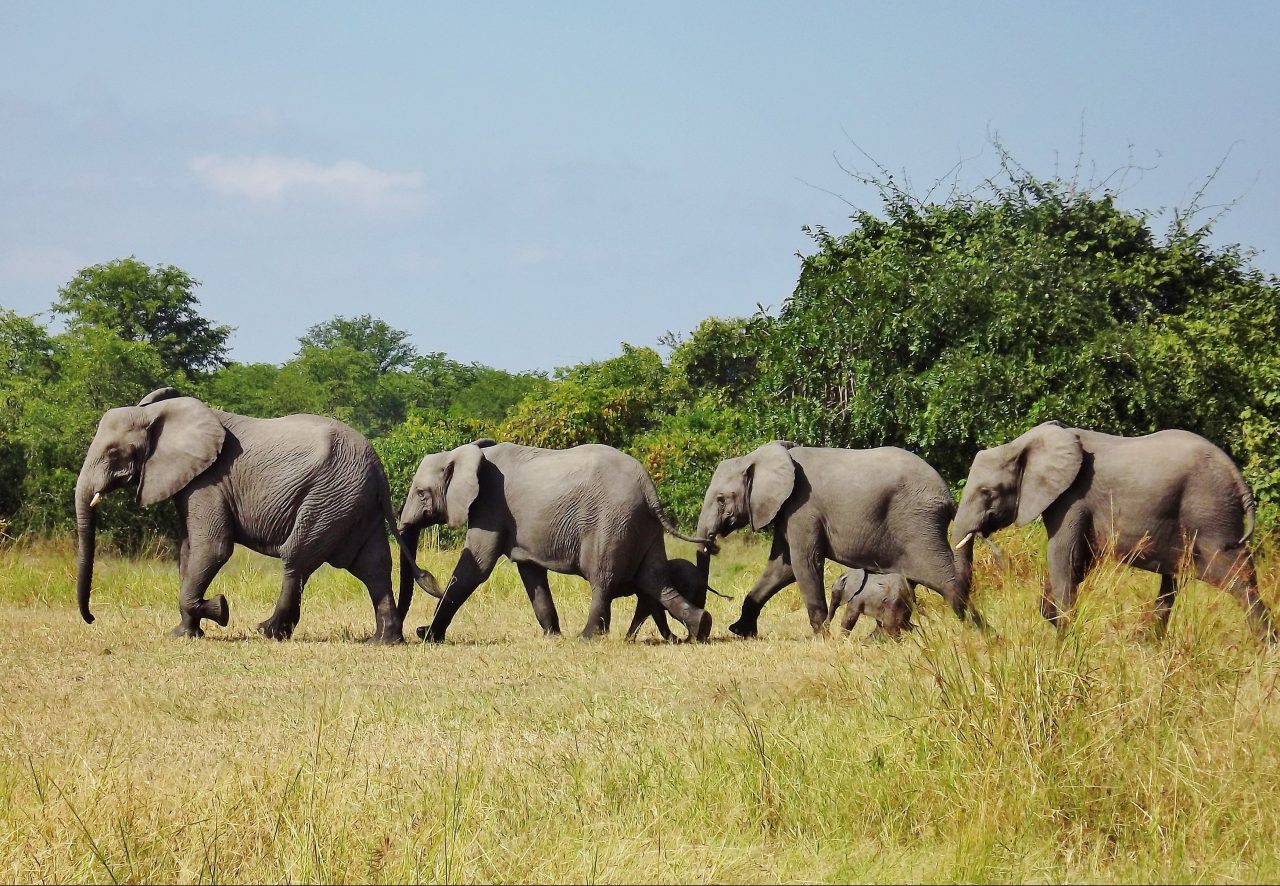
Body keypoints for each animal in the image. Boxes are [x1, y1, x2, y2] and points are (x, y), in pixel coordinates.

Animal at [75, 387, 438, 642]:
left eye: (113, 453)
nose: (91, 619)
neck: (160, 415)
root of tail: (379, 470)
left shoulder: (209, 480)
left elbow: (213, 548)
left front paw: (220, 610)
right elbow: (189, 550)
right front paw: (184, 634)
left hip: (330, 497)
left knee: (297, 558)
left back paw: (267, 631)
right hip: (355, 503)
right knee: (372, 566)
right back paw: (382, 641)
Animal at [398, 440, 713, 643]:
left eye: (421, 493)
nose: (431, 582)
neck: (469, 452)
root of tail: (648, 487)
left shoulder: (489, 505)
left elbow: (476, 566)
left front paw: (428, 636)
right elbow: (530, 572)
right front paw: (551, 636)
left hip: (611, 522)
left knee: (604, 579)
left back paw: (586, 638)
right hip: (642, 526)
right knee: (656, 580)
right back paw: (701, 628)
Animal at [694, 441, 979, 638]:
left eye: (721, 499)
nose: (714, 544)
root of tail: (948, 496)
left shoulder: (802, 508)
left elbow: (803, 563)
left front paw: (822, 636)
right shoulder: (788, 512)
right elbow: (781, 568)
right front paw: (740, 631)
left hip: (918, 525)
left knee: (946, 582)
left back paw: (976, 632)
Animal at [952, 421, 1275, 639]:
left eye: (987, 493)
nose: (994, 636)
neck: (1023, 443)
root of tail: (1237, 475)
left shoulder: (1073, 497)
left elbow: (1064, 557)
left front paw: (1065, 643)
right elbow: (1079, 563)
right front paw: (1057, 621)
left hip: (1209, 512)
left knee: (1236, 576)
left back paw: (1265, 649)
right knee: (1174, 581)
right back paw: (1148, 643)